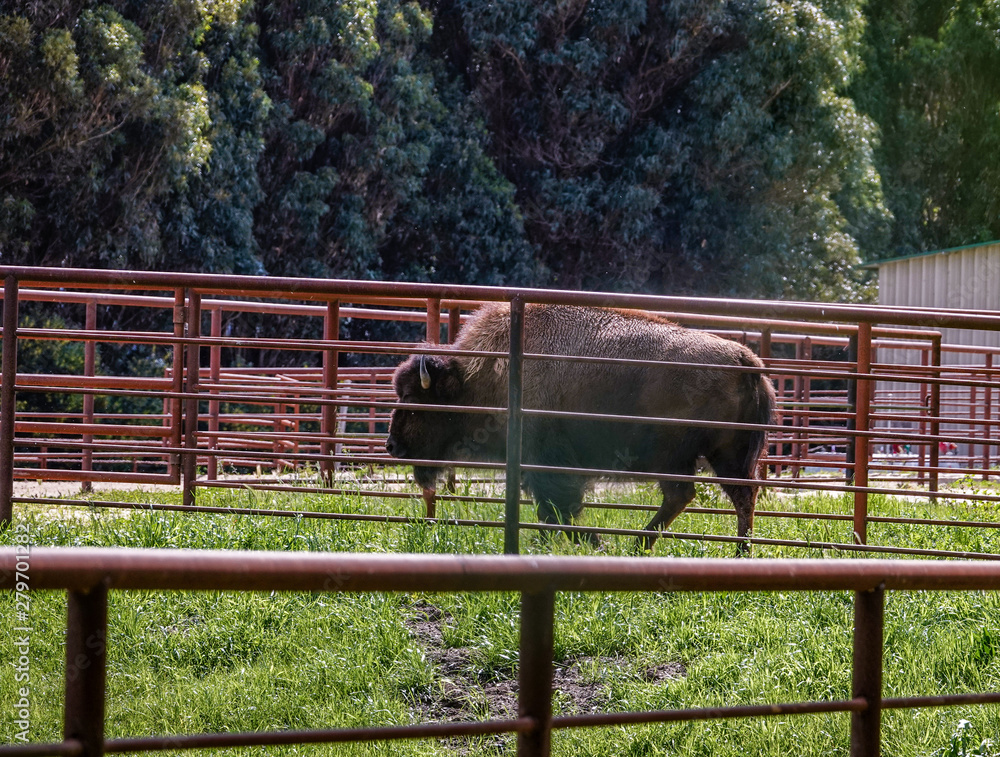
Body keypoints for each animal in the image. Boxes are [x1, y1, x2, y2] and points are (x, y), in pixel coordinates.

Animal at [385, 303, 775, 552]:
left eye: (414, 401)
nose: (391, 446)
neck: (480, 377)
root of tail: (746, 359)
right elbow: (552, 512)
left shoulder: (547, 464)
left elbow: (558, 509)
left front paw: (592, 543)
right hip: (721, 456)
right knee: (734, 496)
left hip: (683, 457)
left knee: (695, 496)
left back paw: (646, 546)